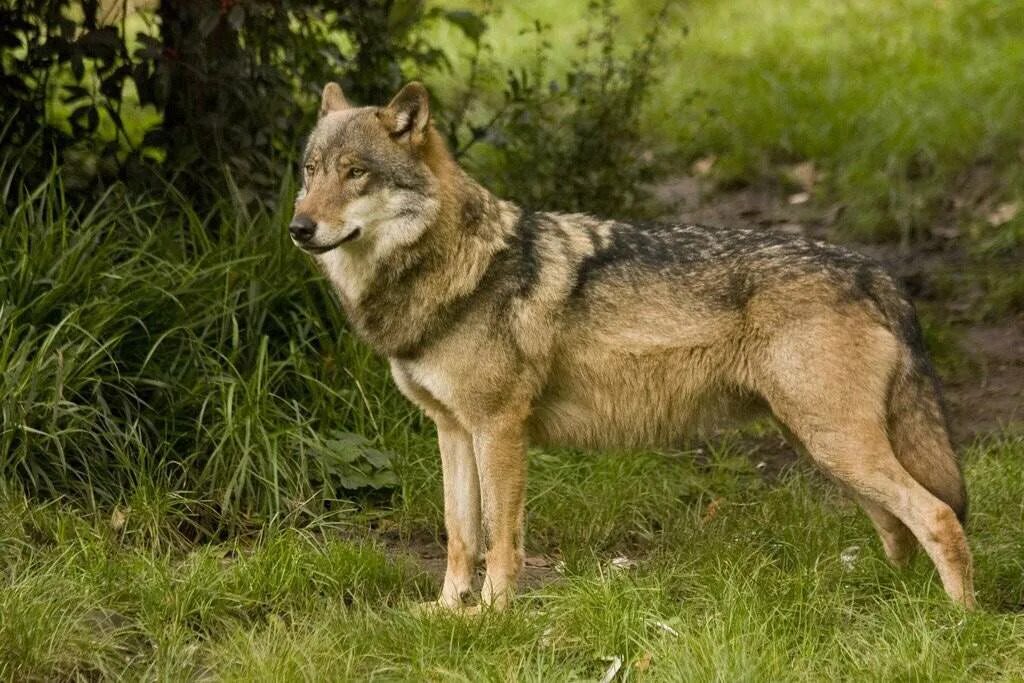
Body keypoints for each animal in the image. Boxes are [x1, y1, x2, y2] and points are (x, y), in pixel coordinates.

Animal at [290, 81, 975, 611]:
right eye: (311, 171)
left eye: (356, 173)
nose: (299, 227)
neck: (456, 267)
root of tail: (873, 270)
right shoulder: (454, 430)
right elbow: (460, 535)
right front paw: (445, 612)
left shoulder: (499, 429)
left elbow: (500, 541)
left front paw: (492, 615)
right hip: (826, 446)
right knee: (898, 527)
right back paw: (884, 602)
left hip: (835, 443)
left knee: (938, 516)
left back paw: (956, 621)